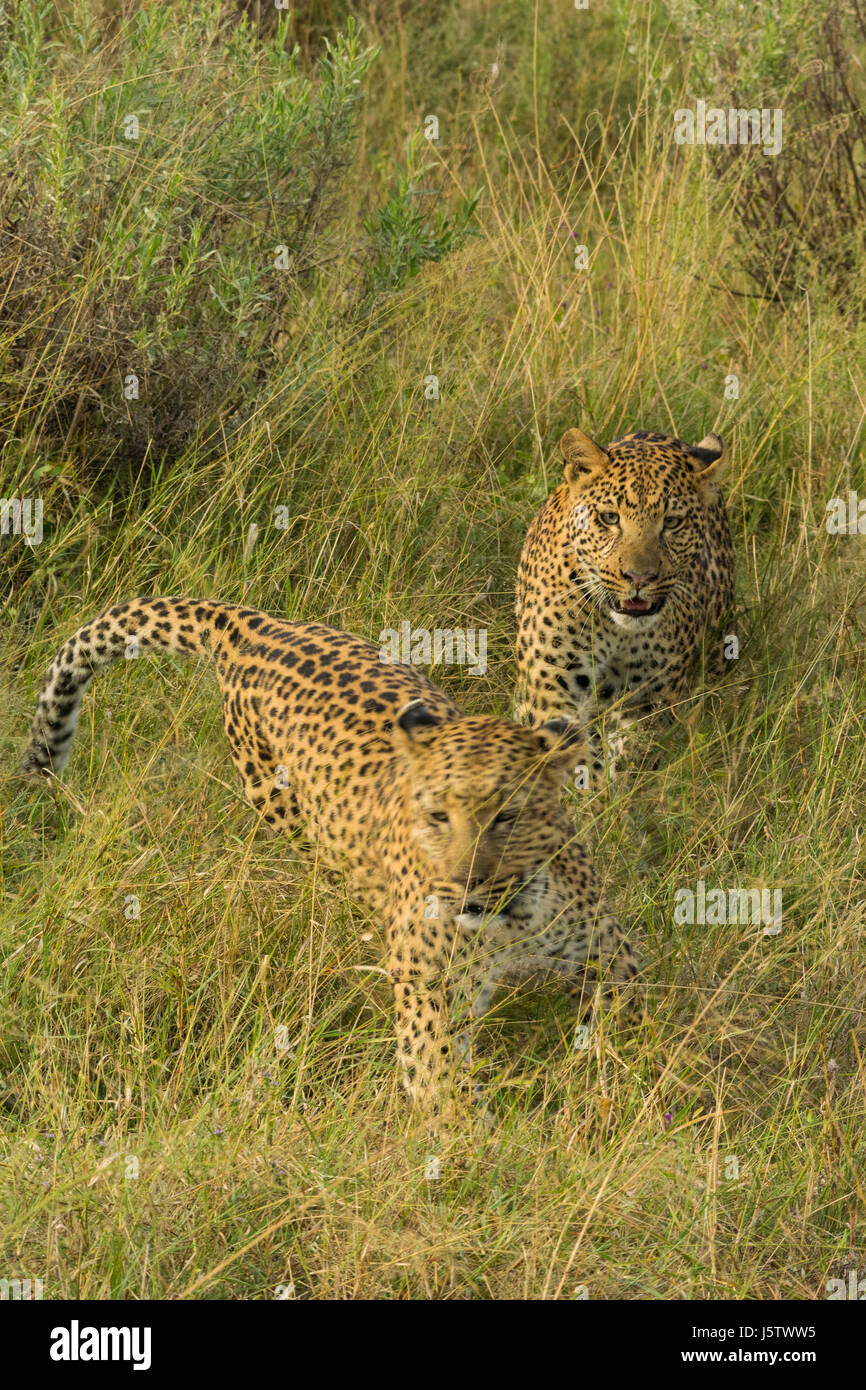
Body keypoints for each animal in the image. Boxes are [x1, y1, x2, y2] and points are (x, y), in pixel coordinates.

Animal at [20, 597, 642, 1122]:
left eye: (507, 816)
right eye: (436, 816)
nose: (463, 886)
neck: (509, 918)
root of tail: (255, 625)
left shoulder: (608, 956)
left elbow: (630, 1029)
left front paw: (620, 1093)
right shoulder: (430, 991)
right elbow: (439, 1078)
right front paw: (472, 1147)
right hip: (284, 810)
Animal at [515, 427, 735, 772]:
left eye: (672, 522)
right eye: (609, 518)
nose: (639, 578)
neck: (616, 630)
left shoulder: (648, 699)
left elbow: (631, 753)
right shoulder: (548, 679)